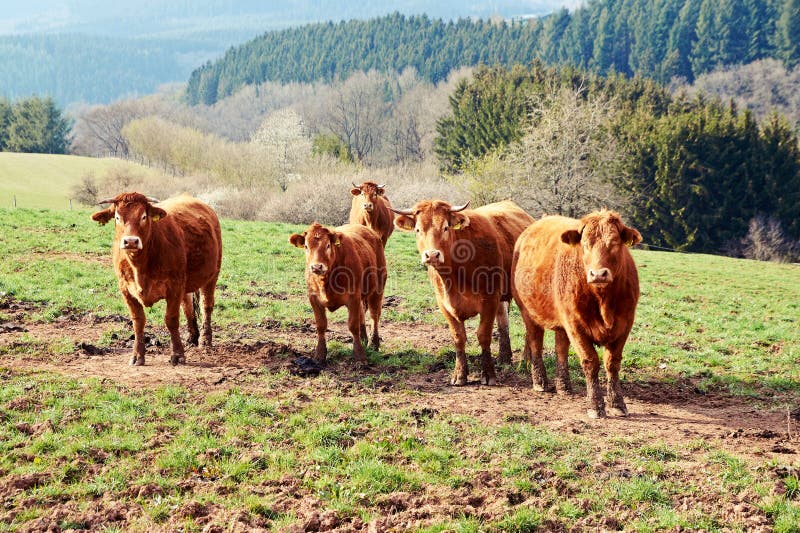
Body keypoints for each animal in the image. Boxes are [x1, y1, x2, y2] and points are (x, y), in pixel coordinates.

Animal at [91, 192, 222, 366]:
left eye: (144, 216)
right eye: (117, 217)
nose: (131, 241)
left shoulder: (174, 286)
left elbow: (171, 320)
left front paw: (177, 355)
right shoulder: (126, 290)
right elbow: (138, 321)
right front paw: (137, 356)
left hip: (212, 274)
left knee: (206, 305)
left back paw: (205, 340)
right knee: (187, 305)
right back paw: (191, 337)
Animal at [289, 222, 387, 365]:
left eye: (328, 245)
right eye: (306, 246)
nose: (316, 267)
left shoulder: (353, 297)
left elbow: (353, 325)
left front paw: (359, 355)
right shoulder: (314, 298)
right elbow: (321, 325)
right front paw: (320, 354)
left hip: (377, 289)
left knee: (374, 315)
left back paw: (374, 344)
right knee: (362, 313)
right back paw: (364, 339)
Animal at [392, 200, 534, 386]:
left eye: (445, 227)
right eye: (417, 230)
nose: (432, 255)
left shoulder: (489, 300)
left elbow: (483, 335)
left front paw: (488, 374)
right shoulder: (443, 304)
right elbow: (458, 337)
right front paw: (459, 375)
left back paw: (526, 361)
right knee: (503, 322)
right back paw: (504, 358)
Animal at [511, 210, 641, 419]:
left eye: (614, 243)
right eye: (585, 244)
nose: (598, 274)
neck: (603, 300)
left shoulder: (625, 324)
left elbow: (612, 363)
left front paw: (617, 403)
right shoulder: (576, 325)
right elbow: (590, 362)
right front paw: (595, 405)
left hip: (562, 321)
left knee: (561, 348)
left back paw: (564, 386)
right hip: (529, 313)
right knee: (535, 343)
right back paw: (540, 382)